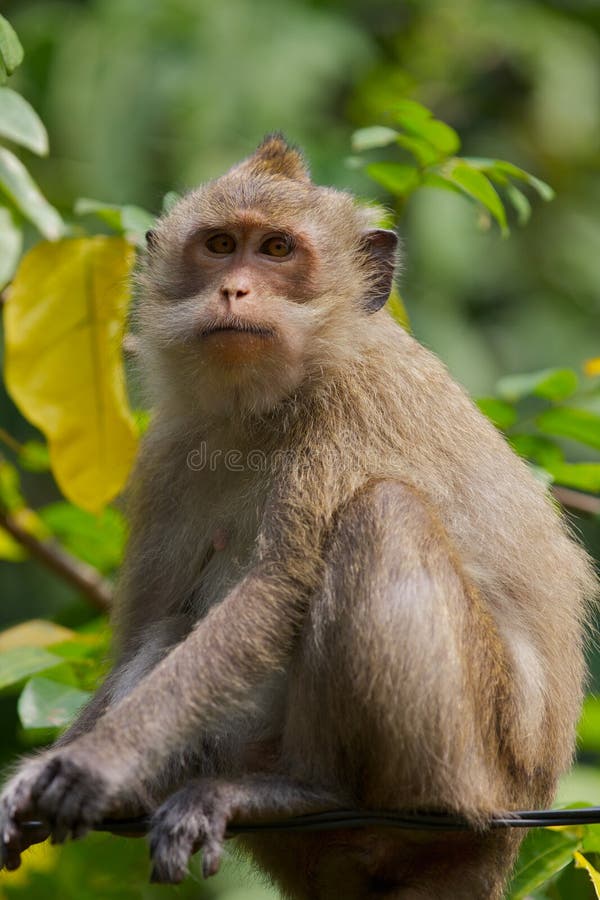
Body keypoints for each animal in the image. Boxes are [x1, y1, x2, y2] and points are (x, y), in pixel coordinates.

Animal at [0, 133, 596, 899]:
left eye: (278, 249)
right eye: (221, 245)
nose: (235, 289)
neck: (261, 410)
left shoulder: (345, 410)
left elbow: (275, 591)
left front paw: (98, 762)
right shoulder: (165, 451)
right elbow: (147, 622)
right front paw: (37, 780)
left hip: (481, 763)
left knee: (383, 513)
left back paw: (312, 792)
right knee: (176, 622)